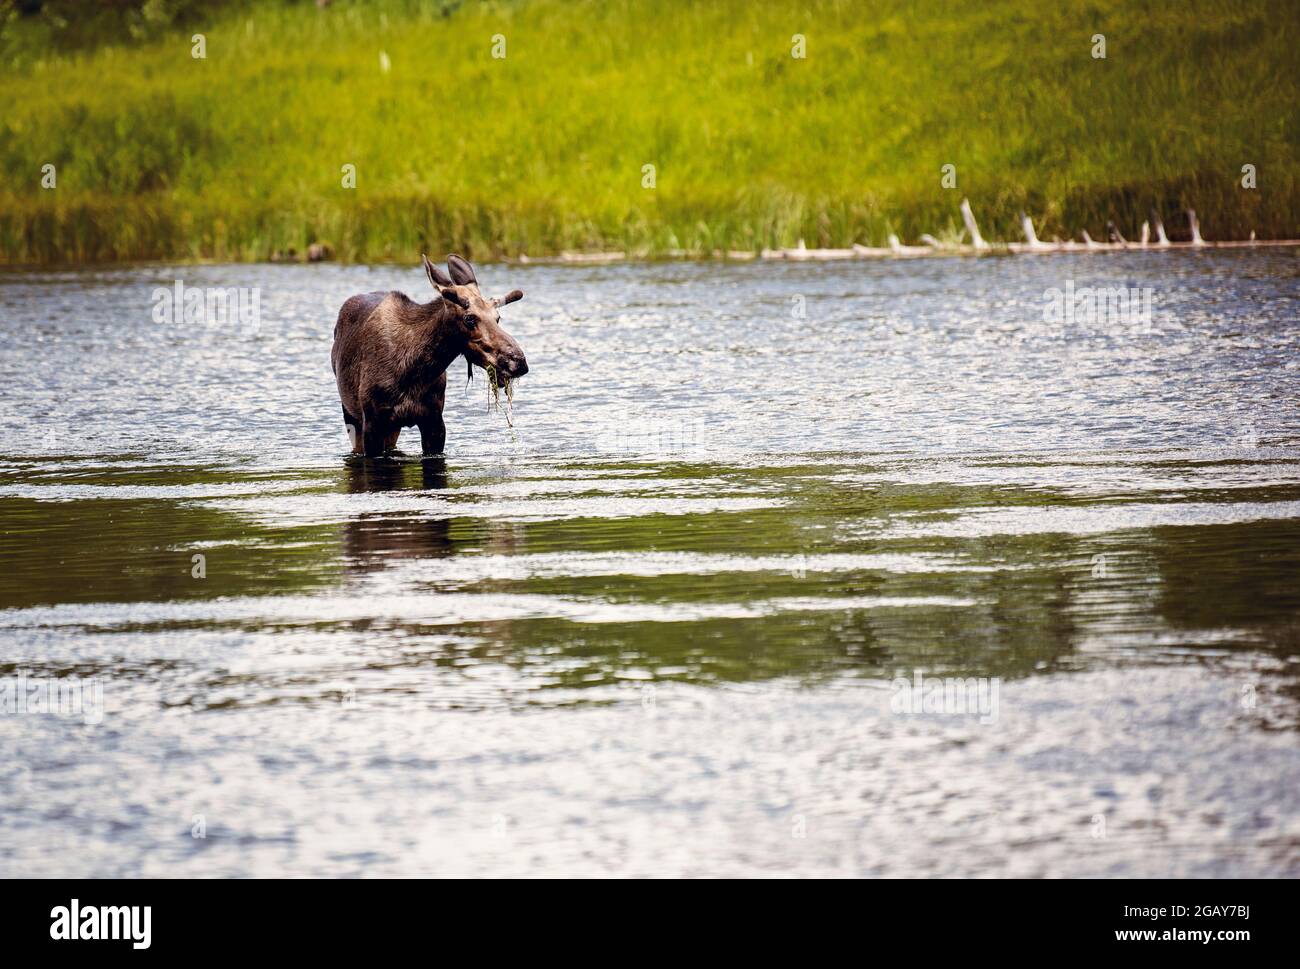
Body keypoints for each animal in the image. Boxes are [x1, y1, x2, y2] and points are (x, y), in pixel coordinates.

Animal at [331, 253, 527, 457]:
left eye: (497, 318)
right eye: (469, 318)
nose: (518, 361)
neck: (416, 370)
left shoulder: (434, 420)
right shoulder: (373, 421)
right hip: (351, 414)